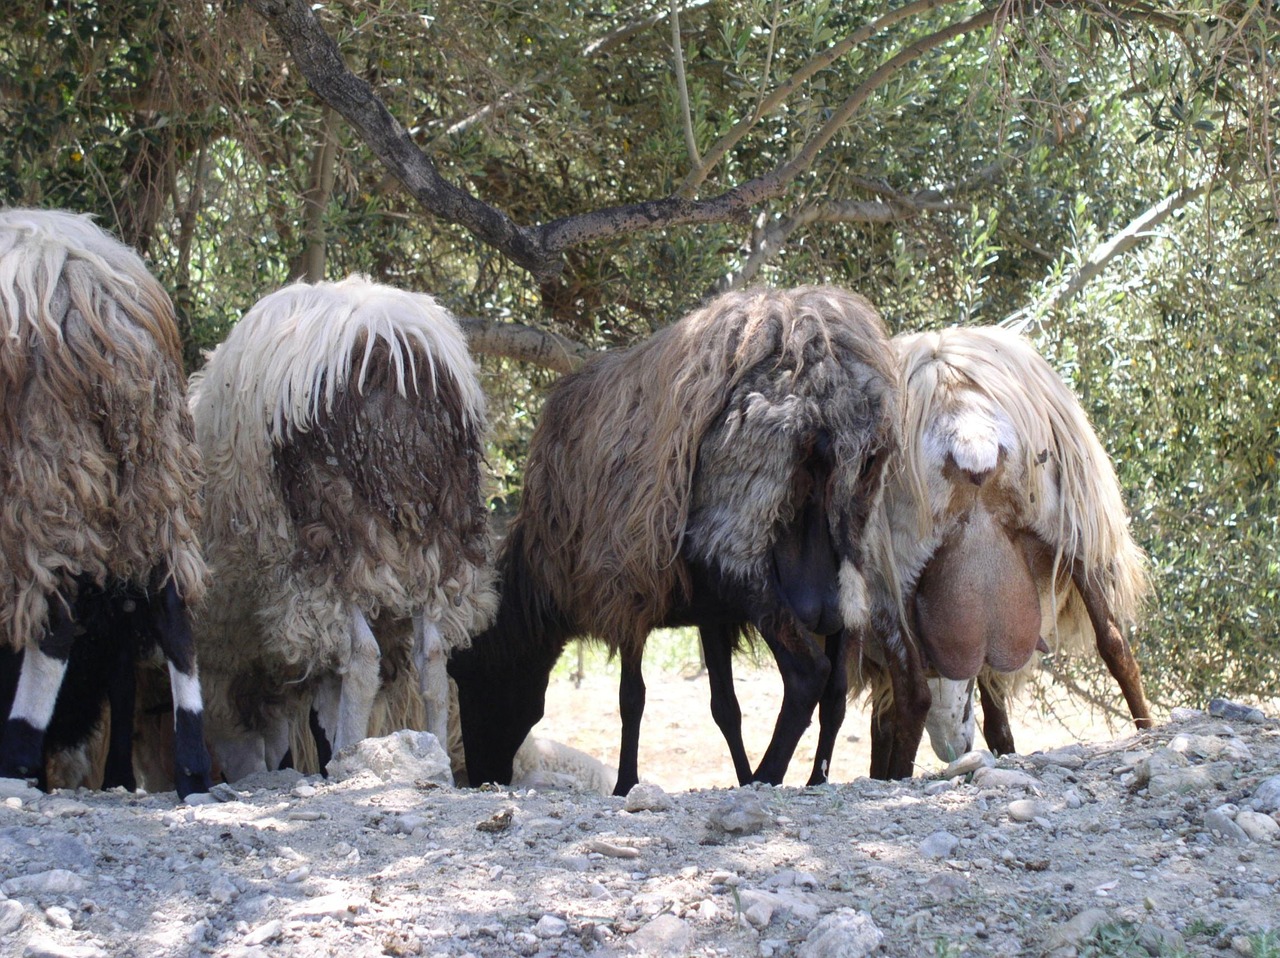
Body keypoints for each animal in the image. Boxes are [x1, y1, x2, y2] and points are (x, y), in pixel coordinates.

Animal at [0, 208, 211, 798]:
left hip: (46, 470)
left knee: (54, 624)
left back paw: (17, 761)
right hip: (156, 473)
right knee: (174, 614)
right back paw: (192, 771)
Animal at [189, 275, 497, 782]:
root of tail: (386, 335)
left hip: (330, 529)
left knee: (361, 657)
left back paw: (349, 760)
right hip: (441, 532)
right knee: (432, 657)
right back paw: (440, 763)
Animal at [450, 285, 929, 795]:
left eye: (471, 676)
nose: (480, 778)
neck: (541, 576)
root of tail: (823, 379)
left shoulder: (625, 587)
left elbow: (631, 699)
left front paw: (626, 784)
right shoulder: (710, 612)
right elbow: (725, 707)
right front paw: (738, 773)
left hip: (739, 545)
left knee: (808, 676)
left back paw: (768, 776)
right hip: (849, 560)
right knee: (836, 691)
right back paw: (812, 781)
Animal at [851, 324, 1151, 768]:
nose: (953, 749)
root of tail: (968, 428)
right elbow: (992, 701)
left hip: (888, 574)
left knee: (913, 694)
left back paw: (897, 775)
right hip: (1070, 533)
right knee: (1115, 643)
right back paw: (1147, 728)